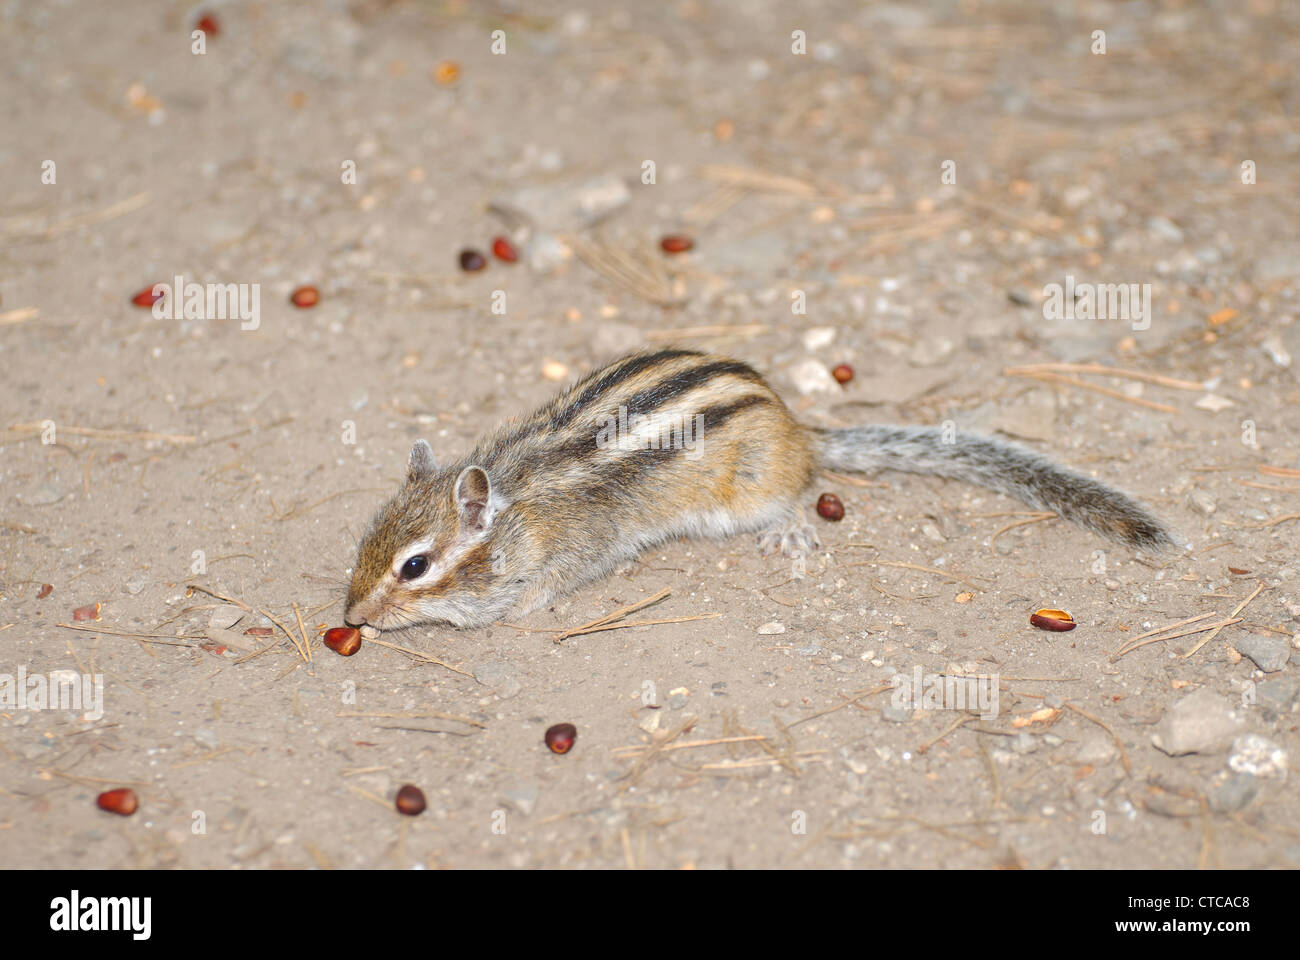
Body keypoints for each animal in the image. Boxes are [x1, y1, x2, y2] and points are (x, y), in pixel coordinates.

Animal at [345, 348, 1175, 631]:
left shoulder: (583, 546)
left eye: (415, 566)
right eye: (365, 543)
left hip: (752, 489)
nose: (350, 617)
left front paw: (520, 607)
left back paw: (792, 527)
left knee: (804, 491)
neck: (519, 503)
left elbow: (556, 581)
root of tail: (798, 427)